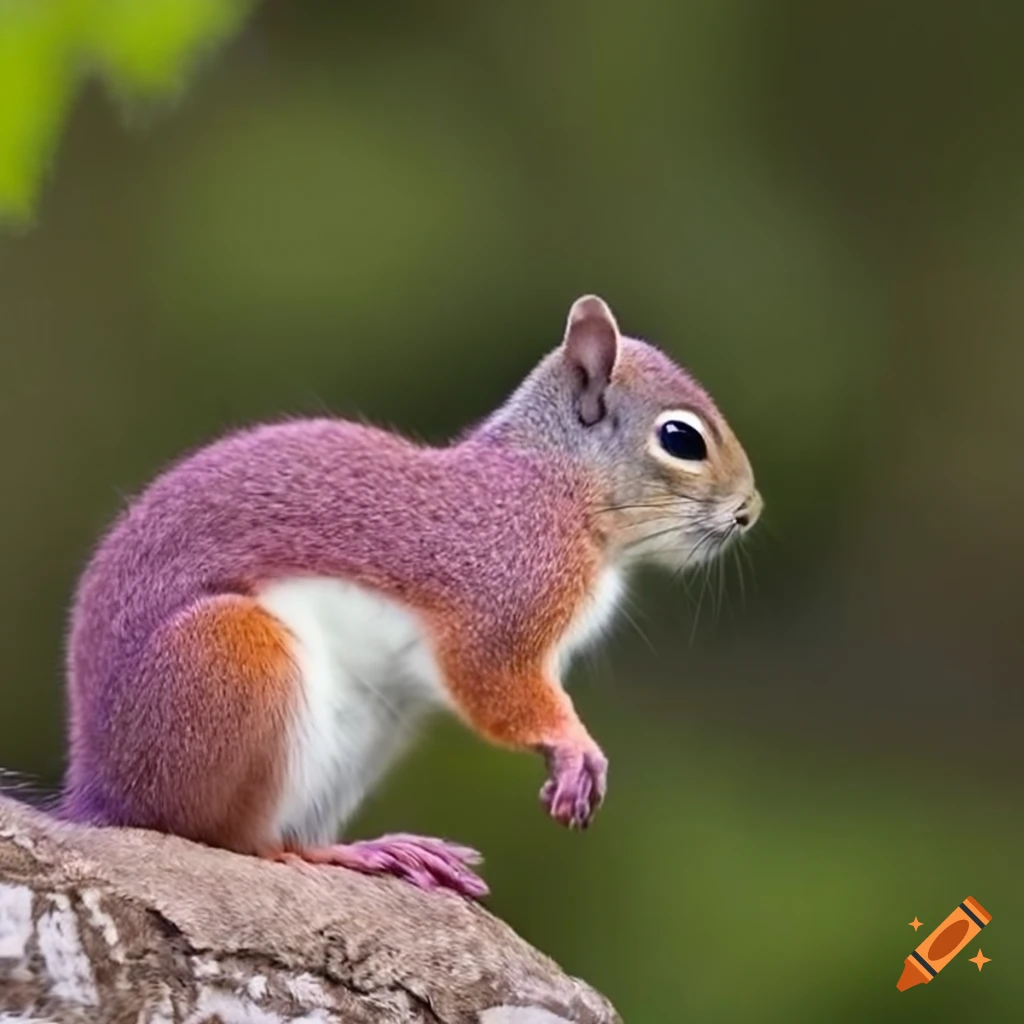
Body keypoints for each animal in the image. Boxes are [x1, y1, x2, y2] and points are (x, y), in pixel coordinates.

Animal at [60, 295, 762, 898]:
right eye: (681, 439)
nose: (750, 511)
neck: (557, 485)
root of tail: (105, 790)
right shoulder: (502, 595)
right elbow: (495, 684)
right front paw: (574, 746)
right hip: (230, 659)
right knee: (233, 838)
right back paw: (352, 851)